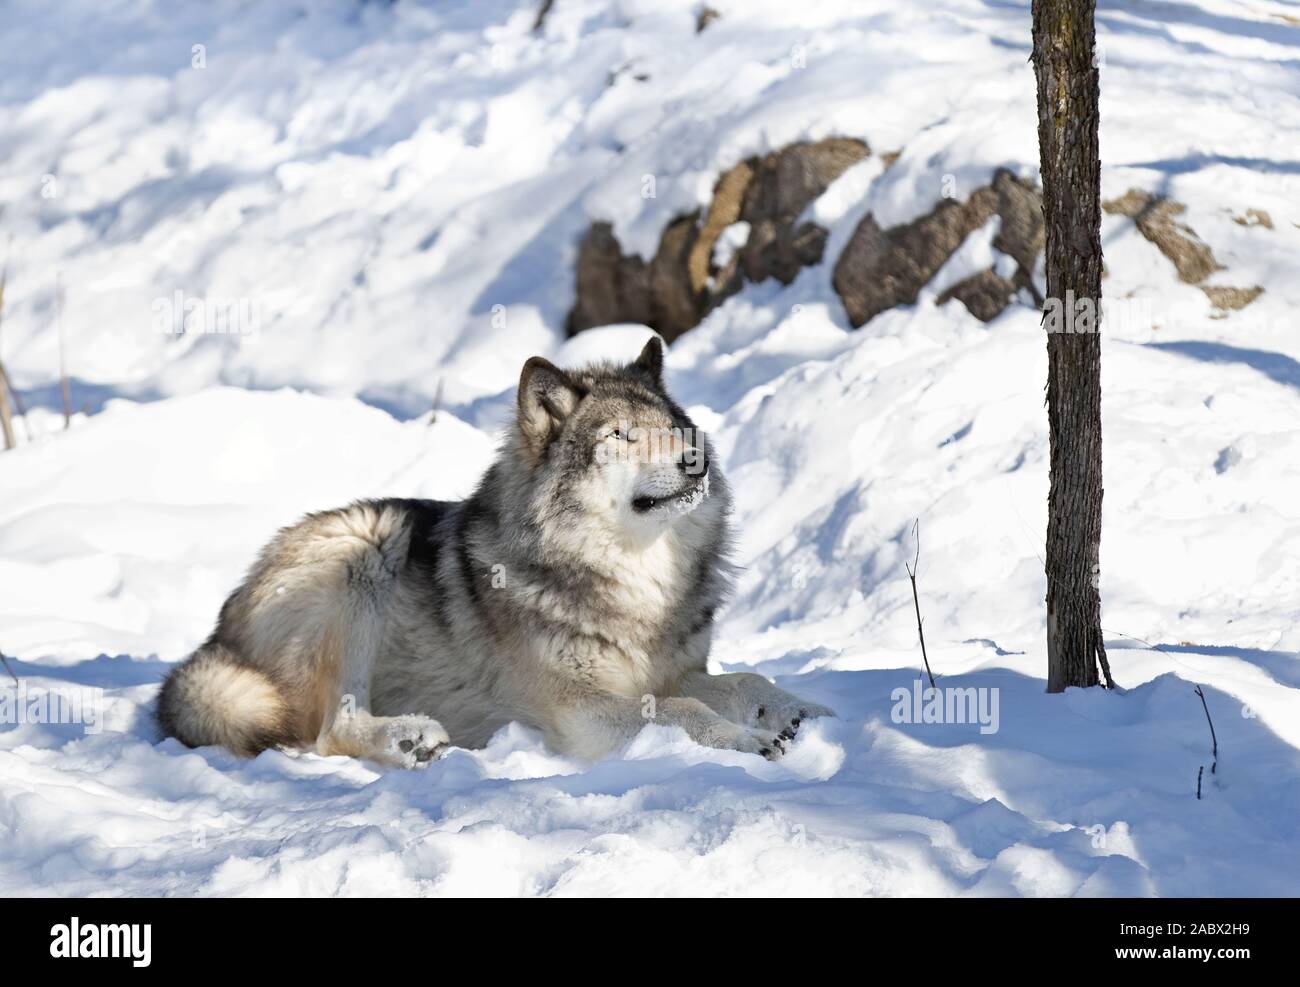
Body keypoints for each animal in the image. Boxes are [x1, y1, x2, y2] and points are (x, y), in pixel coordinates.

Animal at [157, 338, 834, 767]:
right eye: (620, 436)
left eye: (674, 426)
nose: (694, 459)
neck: (638, 582)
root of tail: (217, 636)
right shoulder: (583, 707)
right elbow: (684, 710)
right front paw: (747, 743)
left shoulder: (678, 669)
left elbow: (744, 680)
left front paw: (805, 713)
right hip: (364, 547)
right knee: (329, 731)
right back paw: (411, 740)